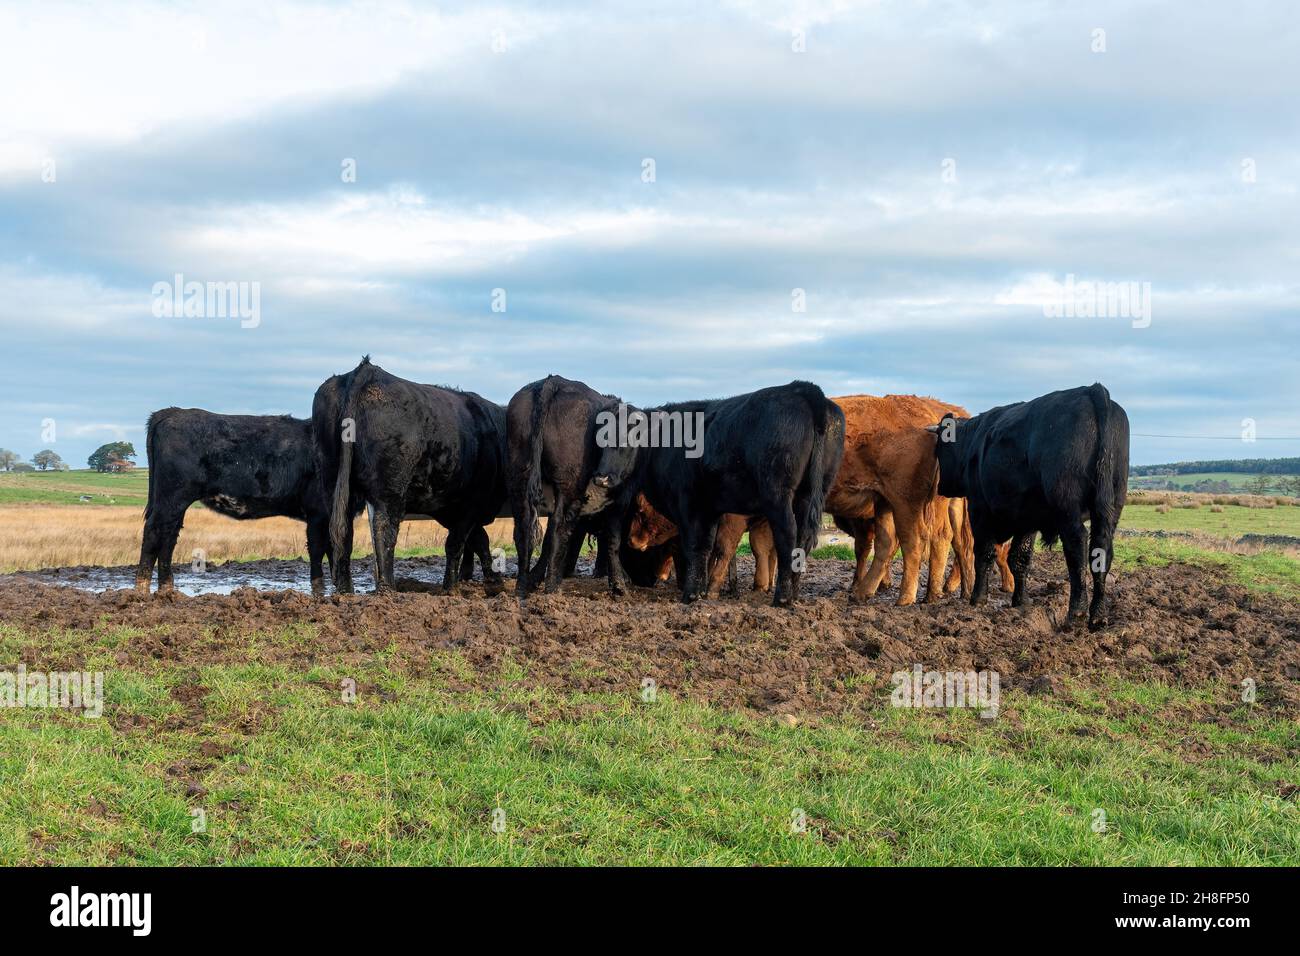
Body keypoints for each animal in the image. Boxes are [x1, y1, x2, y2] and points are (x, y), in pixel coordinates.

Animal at [135, 409, 360, 595]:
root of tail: (172, 412)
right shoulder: (318, 513)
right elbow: (318, 550)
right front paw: (323, 592)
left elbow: (334, 549)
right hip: (171, 498)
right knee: (155, 532)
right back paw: (142, 590)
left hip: (173, 502)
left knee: (169, 536)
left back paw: (166, 589)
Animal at [313, 357, 508, 595]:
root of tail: (366, 370)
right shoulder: (472, 501)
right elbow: (459, 542)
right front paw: (451, 588)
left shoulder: (449, 508)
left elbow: (478, 540)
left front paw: (492, 581)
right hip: (390, 488)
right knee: (384, 529)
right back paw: (388, 589)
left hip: (331, 479)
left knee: (344, 532)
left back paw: (345, 591)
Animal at [506, 375, 631, 599]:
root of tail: (553, 381)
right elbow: (612, 537)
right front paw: (619, 583)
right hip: (569, 484)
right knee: (558, 526)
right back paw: (552, 587)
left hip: (518, 477)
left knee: (524, 527)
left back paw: (522, 587)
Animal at [590, 382, 845, 606]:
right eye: (602, 439)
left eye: (629, 438)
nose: (601, 477)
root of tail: (802, 388)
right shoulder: (709, 509)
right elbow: (706, 546)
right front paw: (701, 592)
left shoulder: (688, 505)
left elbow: (693, 547)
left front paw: (691, 595)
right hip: (809, 495)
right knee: (802, 541)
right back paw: (794, 595)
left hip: (779, 497)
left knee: (787, 539)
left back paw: (781, 598)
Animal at [929, 383, 1129, 629]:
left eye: (940, 449)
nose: (942, 486)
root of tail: (1091, 389)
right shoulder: (1027, 519)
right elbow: (1020, 559)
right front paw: (1021, 601)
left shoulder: (980, 510)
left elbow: (984, 554)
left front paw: (978, 599)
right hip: (1111, 507)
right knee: (1101, 550)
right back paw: (1098, 614)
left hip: (1067, 508)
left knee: (1077, 547)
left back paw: (1077, 611)